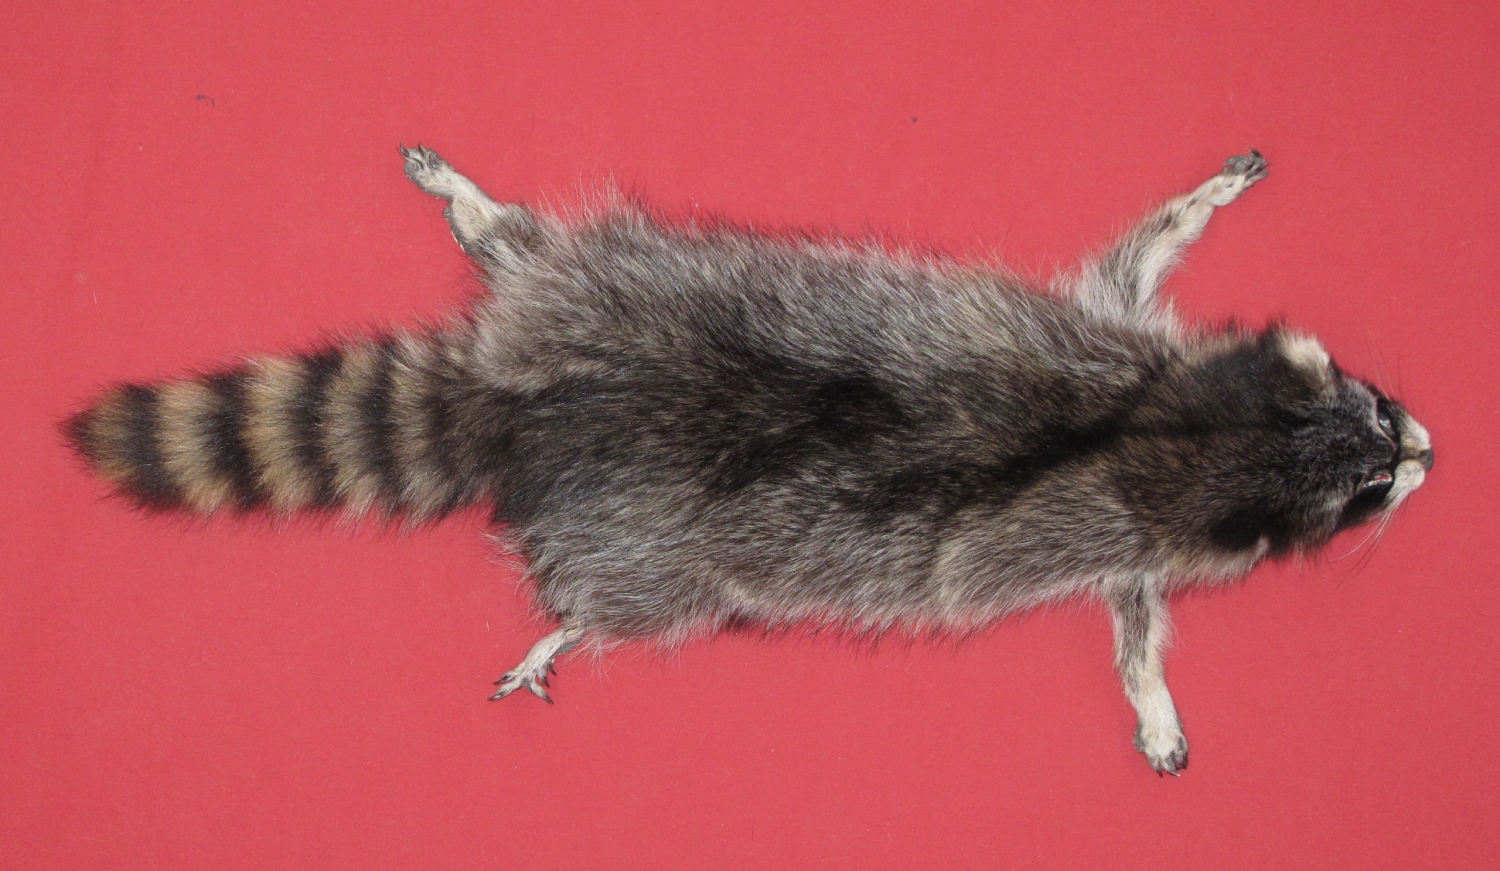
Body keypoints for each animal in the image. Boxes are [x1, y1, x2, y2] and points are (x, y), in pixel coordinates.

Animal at [64, 147, 1432, 774]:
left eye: (1374, 404)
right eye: (1370, 491)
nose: (1427, 444)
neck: (1188, 428)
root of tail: (528, 417)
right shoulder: (1123, 497)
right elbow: (1137, 623)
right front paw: (1154, 699)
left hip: (633, 293)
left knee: (556, 265)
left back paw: (496, 231)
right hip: (659, 549)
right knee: (629, 598)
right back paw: (573, 623)